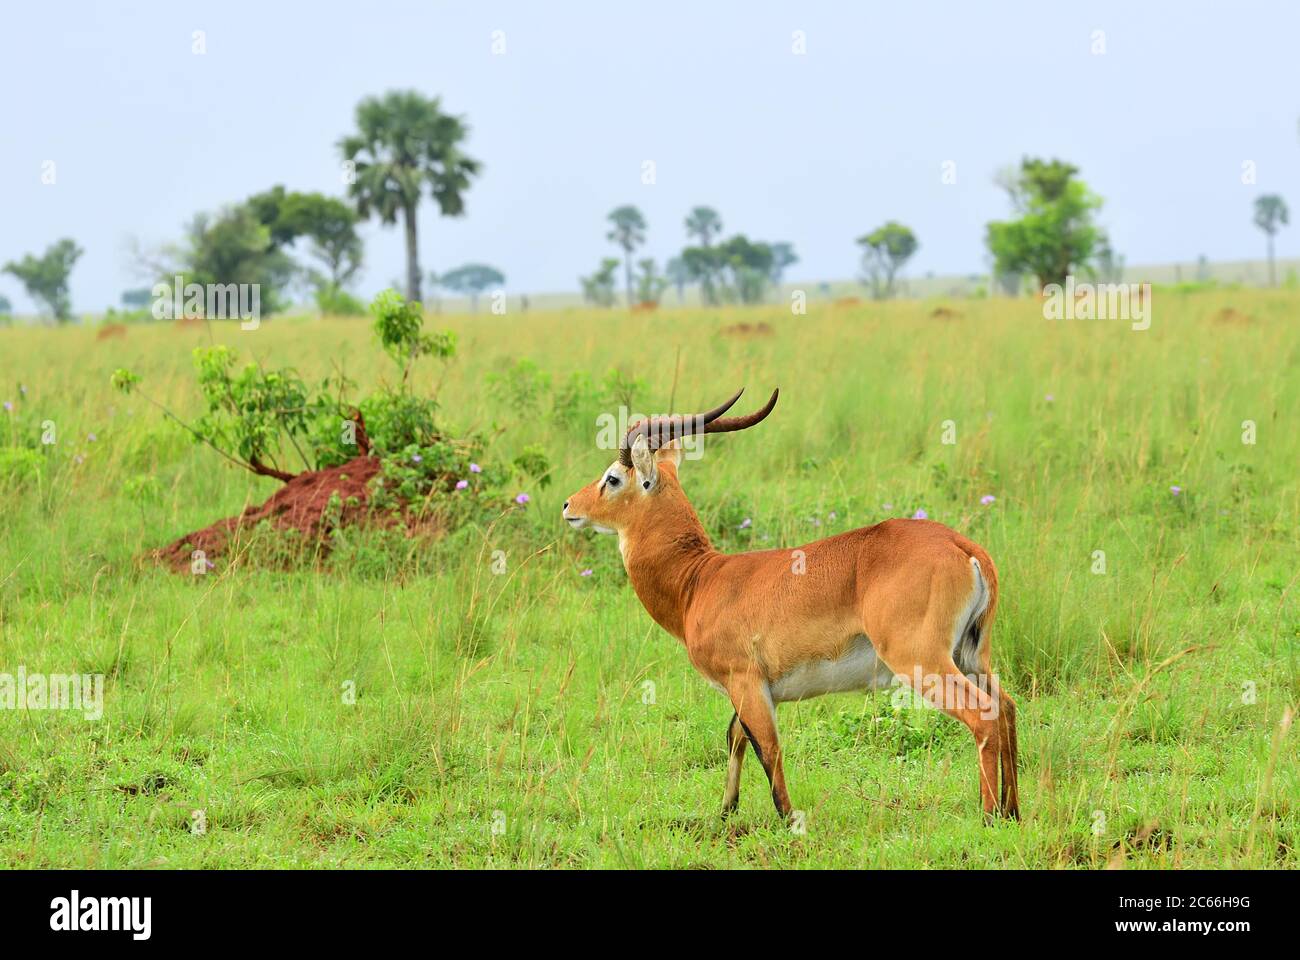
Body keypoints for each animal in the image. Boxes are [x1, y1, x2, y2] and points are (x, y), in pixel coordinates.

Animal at [562, 388, 1020, 820]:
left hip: (921, 661)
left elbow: (767, 748)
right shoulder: (752, 689)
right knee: (1007, 708)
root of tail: (964, 547)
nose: (568, 505)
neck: (699, 581)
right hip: (971, 657)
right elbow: (735, 737)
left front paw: (787, 819)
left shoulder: (746, 681)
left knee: (983, 716)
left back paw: (988, 817)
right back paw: (1012, 812)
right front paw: (725, 812)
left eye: (612, 478)